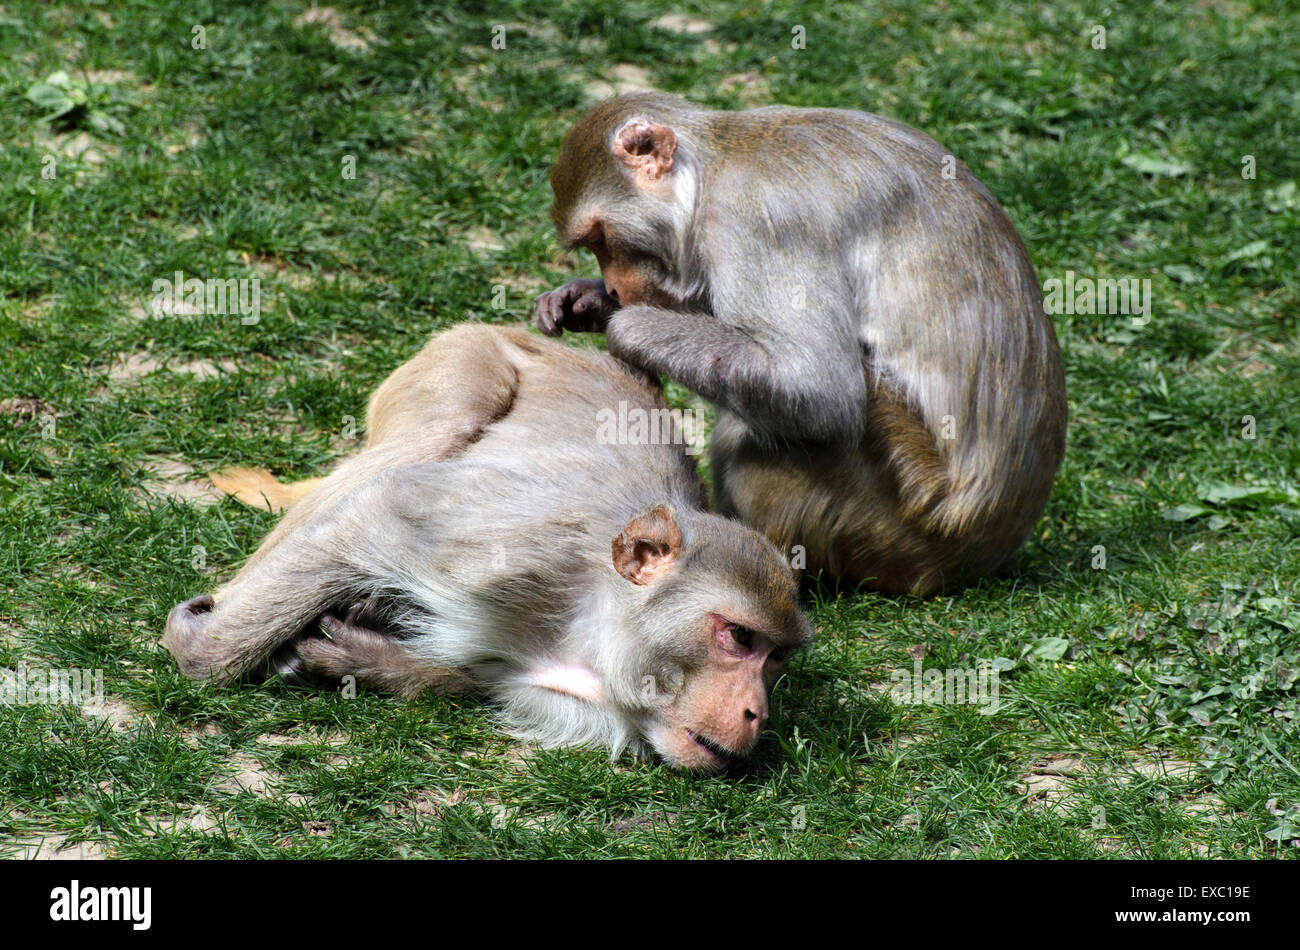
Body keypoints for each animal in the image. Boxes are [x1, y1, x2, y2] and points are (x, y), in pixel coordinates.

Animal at [162, 324, 813, 772]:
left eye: (776, 657)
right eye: (738, 637)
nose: (757, 712)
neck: (591, 624)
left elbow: (484, 683)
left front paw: (361, 658)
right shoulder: (513, 551)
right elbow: (378, 515)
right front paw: (203, 649)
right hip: (463, 355)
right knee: (449, 421)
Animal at [535, 92, 1067, 596]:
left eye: (601, 237)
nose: (616, 286)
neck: (712, 169)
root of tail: (979, 558)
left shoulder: (758, 221)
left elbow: (821, 390)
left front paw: (630, 327)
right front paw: (588, 301)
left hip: (898, 520)